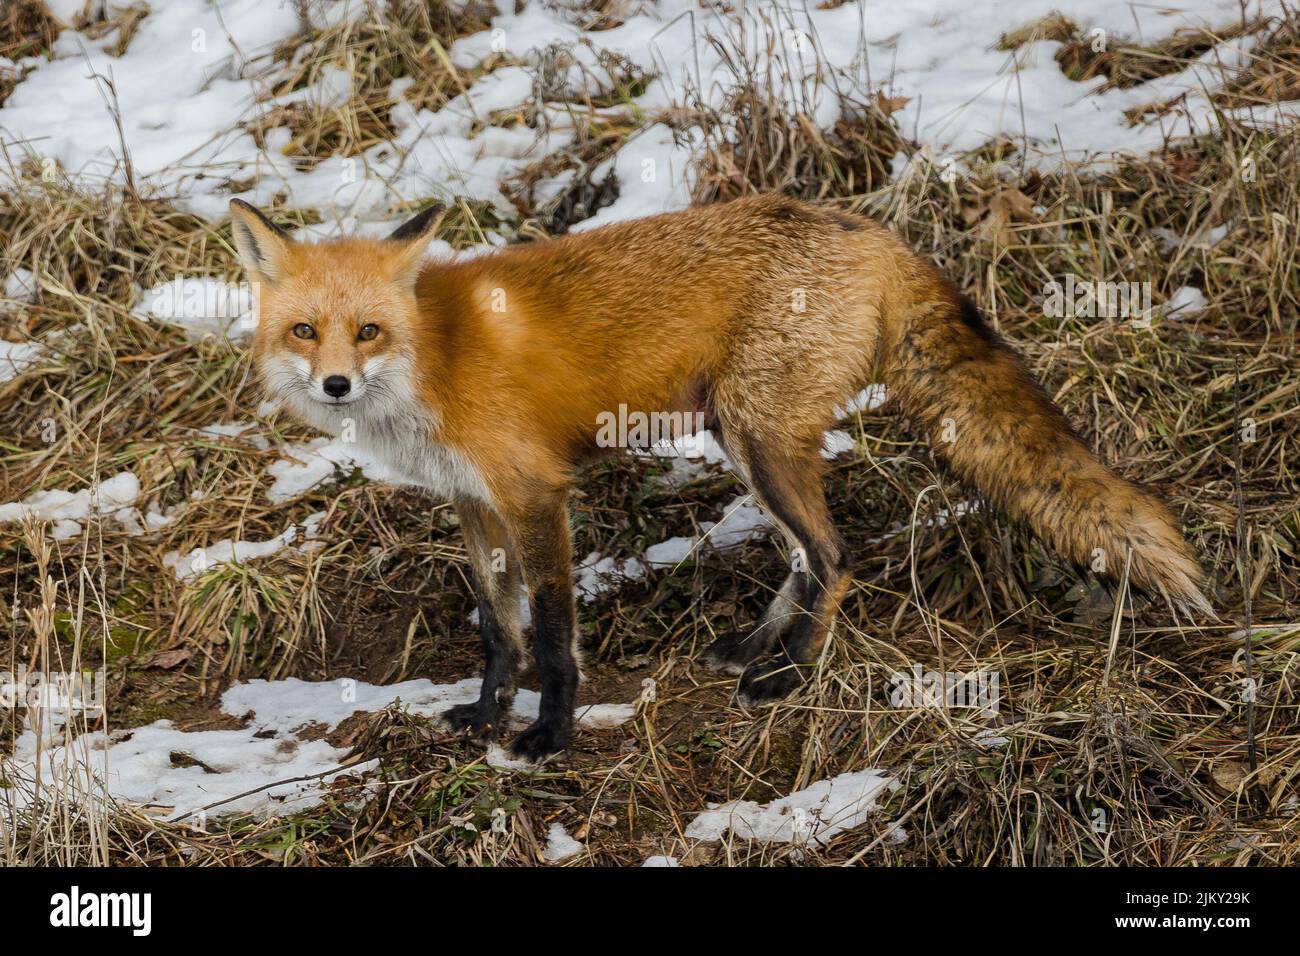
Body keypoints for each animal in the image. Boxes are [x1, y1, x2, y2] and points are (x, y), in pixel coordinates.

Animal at [228, 192, 1211, 761]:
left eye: (368, 331)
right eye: (306, 331)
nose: (336, 384)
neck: (431, 359)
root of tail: (869, 229)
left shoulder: (533, 493)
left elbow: (552, 633)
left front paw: (549, 732)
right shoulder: (475, 503)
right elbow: (497, 631)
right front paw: (486, 713)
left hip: (758, 436)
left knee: (837, 556)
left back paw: (791, 679)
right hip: (741, 437)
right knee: (807, 558)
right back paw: (758, 647)